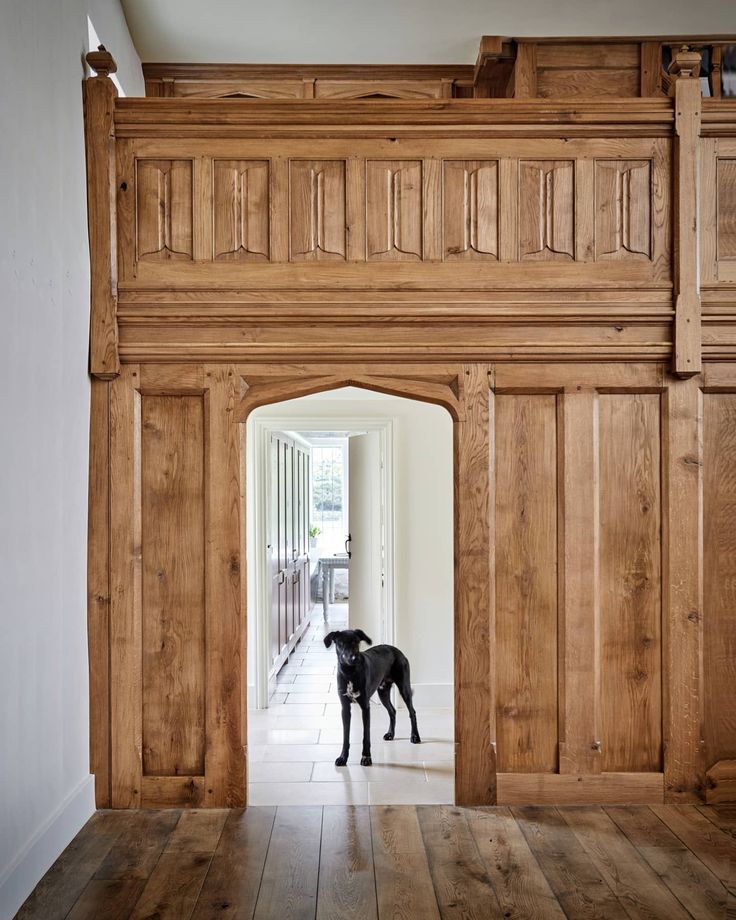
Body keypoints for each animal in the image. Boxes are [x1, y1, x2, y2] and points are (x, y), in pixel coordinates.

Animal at [322, 628, 420, 764]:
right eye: (341, 643)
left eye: (357, 641)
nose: (354, 658)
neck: (350, 673)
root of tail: (397, 650)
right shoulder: (345, 709)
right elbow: (345, 737)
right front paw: (343, 757)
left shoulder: (365, 707)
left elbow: (366, 736)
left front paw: (366, 757)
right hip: (382, 692)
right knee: (392, 711)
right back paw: (391, 734)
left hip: (404, 688)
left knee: (412, 712)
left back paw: (415, 736)